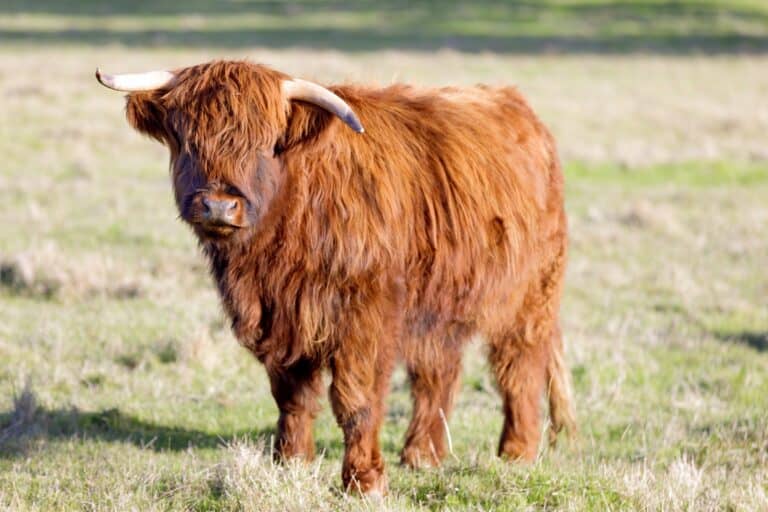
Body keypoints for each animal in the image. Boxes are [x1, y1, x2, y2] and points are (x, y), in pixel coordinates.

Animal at [96, 60, 575, 495]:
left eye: (266, 145)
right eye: (187, 140)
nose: (218, 205)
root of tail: (515, 105)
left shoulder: (364, 319)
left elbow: (356, 400)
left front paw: (364, 481)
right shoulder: (282, 321)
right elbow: (292, 397)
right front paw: (289, 464)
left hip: (529, 297)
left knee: (519, 367)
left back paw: (516, 451)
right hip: (440, 305)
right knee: (438, 371)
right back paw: (422, 455)